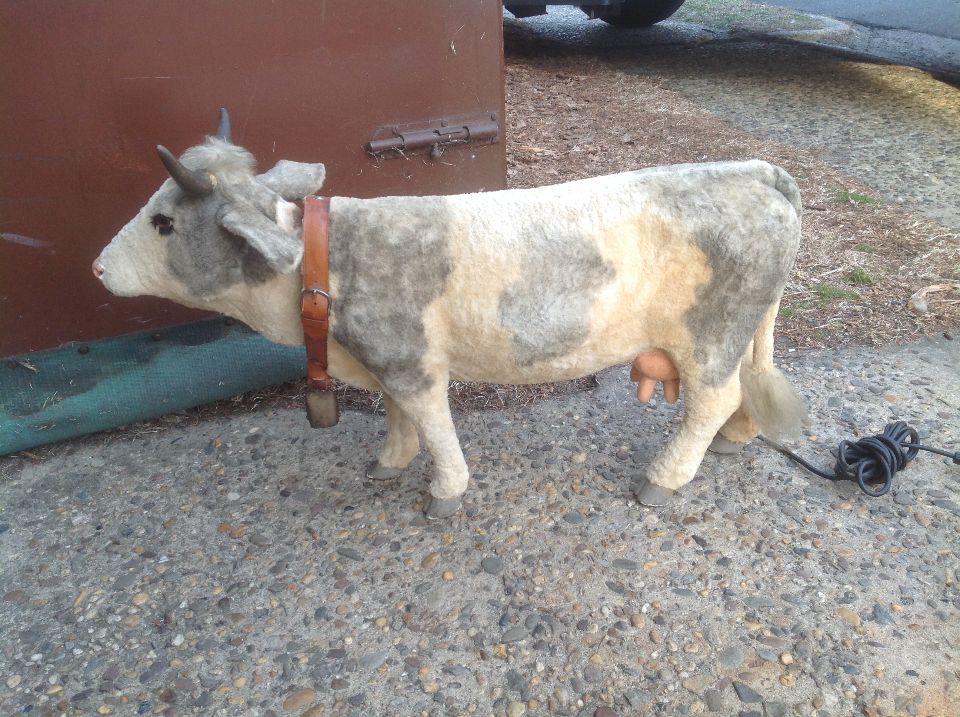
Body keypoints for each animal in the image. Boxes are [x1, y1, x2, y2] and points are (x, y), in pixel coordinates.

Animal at [93, 110, 806, 519]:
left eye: (163, 222)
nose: (98, 267)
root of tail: (756, 173)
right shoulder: (383, 361)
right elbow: (396, 417)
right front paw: (387, 464)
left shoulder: (412, 361)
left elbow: (433, 424)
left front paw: (444, 495)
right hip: (741, 328)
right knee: (746, 388)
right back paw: (737, 442)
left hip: (710, 333)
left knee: (710, 400)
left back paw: (661, 482)